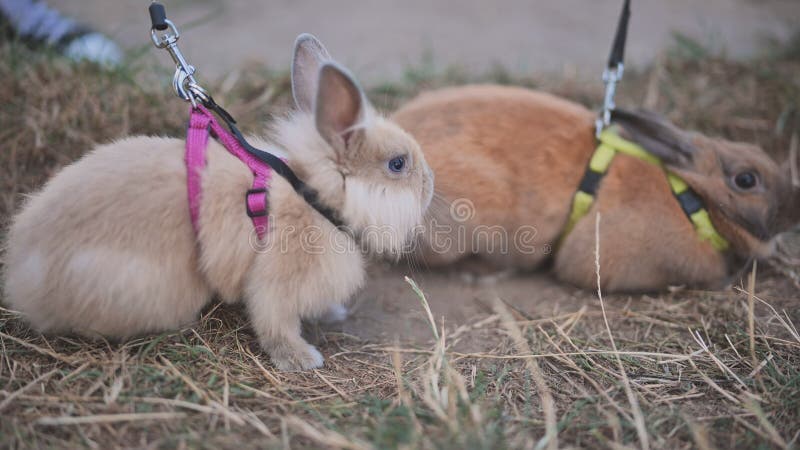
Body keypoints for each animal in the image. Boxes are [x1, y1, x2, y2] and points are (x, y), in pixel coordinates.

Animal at [2, 34, 434, 371]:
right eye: (397, 164)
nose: (430, 185)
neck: (313, 196)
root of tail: (23, 274)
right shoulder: (274, 282)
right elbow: (276, 323)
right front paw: (301, 359)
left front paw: (332, 314)